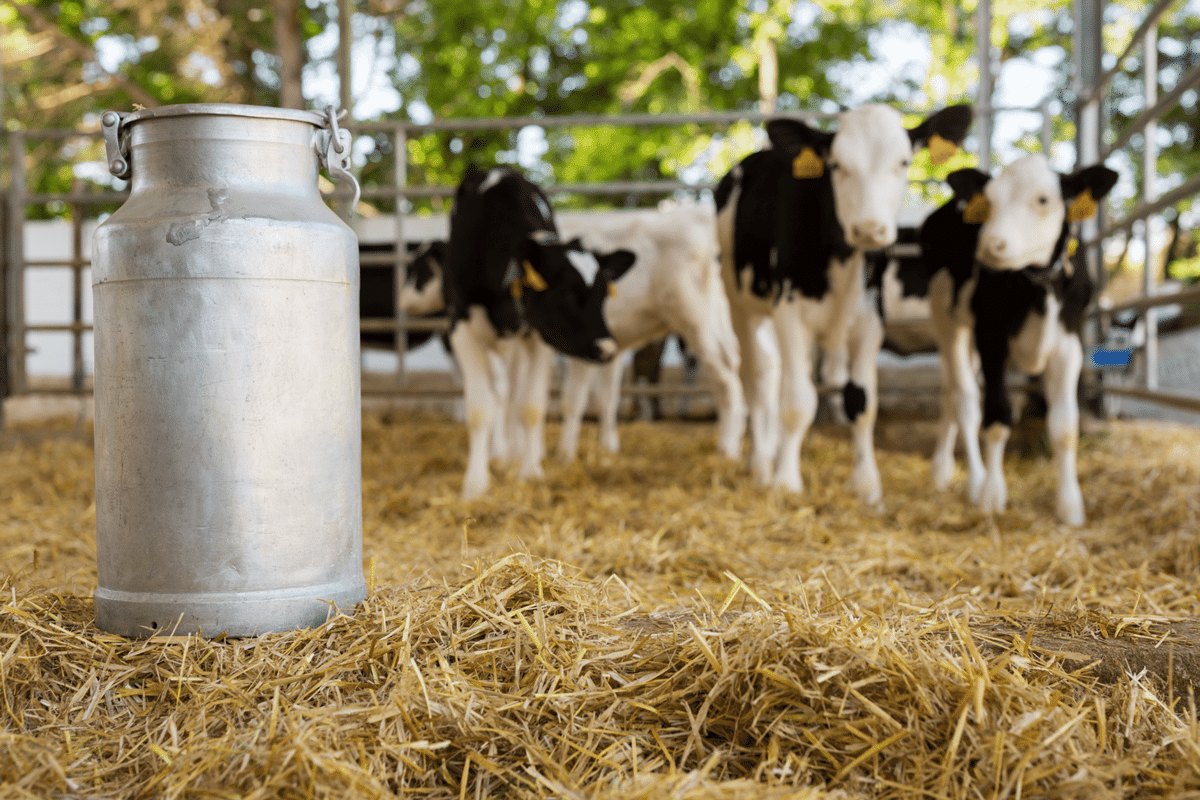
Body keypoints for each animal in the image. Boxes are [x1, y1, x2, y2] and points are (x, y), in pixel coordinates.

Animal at [445, 164, 633, 500]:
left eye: (604, 293)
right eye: (566, 293)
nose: (608, 348)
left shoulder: (538, 335)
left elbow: (531, 407)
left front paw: (530, 471)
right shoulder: (461, 328)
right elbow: (480, 409)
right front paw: (475, 484)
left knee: (514, 393)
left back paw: (522, 452)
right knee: (502, 393)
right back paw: (503, 452)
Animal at [555, 204, 746, 462]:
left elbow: (572, 400)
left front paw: (564, 456)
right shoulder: (610, 345)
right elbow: (608, 397)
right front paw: (608, 448)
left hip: (700, 322)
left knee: (729, 382)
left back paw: (727, 450)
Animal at [715, 103, 973, 505]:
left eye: (903, 161)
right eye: (836, 164)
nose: (868, 229)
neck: (842, 259)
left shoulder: (871, 319)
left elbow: (862, 403)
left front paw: (867, 485)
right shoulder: (788, 311)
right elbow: (798, 401)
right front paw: (785, 481)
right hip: (741, 302)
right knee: (757, 376)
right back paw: (761, 464)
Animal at [920, 154, 1118, 525]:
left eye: (1043, 199)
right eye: (990, 201)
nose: (989, 244)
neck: (1037, 286)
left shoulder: (1068, 344)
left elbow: (1065, 427)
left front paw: (1070, 507)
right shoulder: (991, 337)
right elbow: (997, 416)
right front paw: (991, 496)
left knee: (949, 392)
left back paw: (942, 470)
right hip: (946, 319)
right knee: (965, 399)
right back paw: (972, 479)